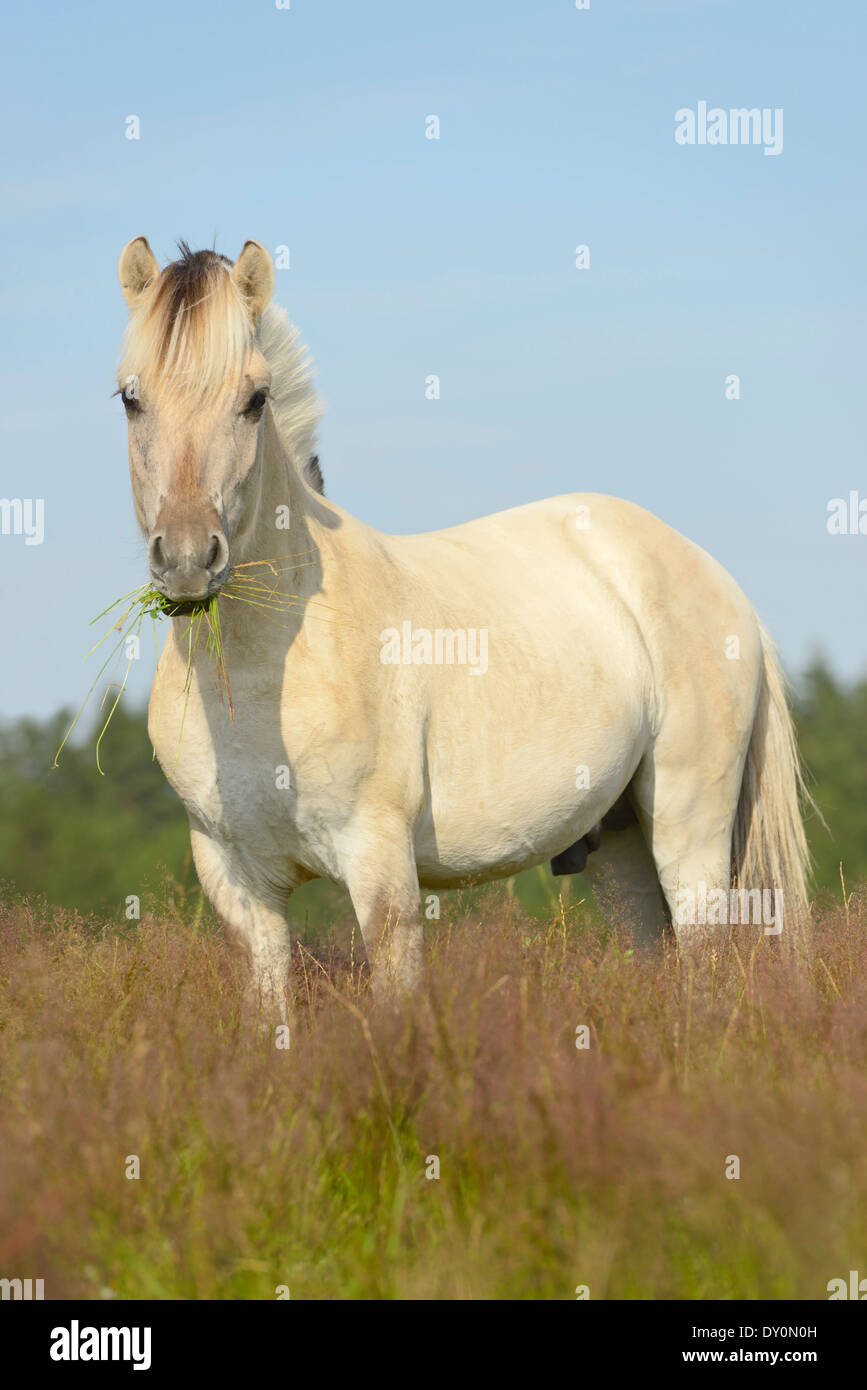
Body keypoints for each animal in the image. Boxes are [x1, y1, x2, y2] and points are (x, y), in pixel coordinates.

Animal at [115, 236, 811, 1012]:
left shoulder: (379, 865)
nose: (185, 560)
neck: (263, 675)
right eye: (131, 399)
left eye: (254, 400)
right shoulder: (240, 889)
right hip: (622, 845)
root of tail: (716, 576)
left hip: (690, 835)